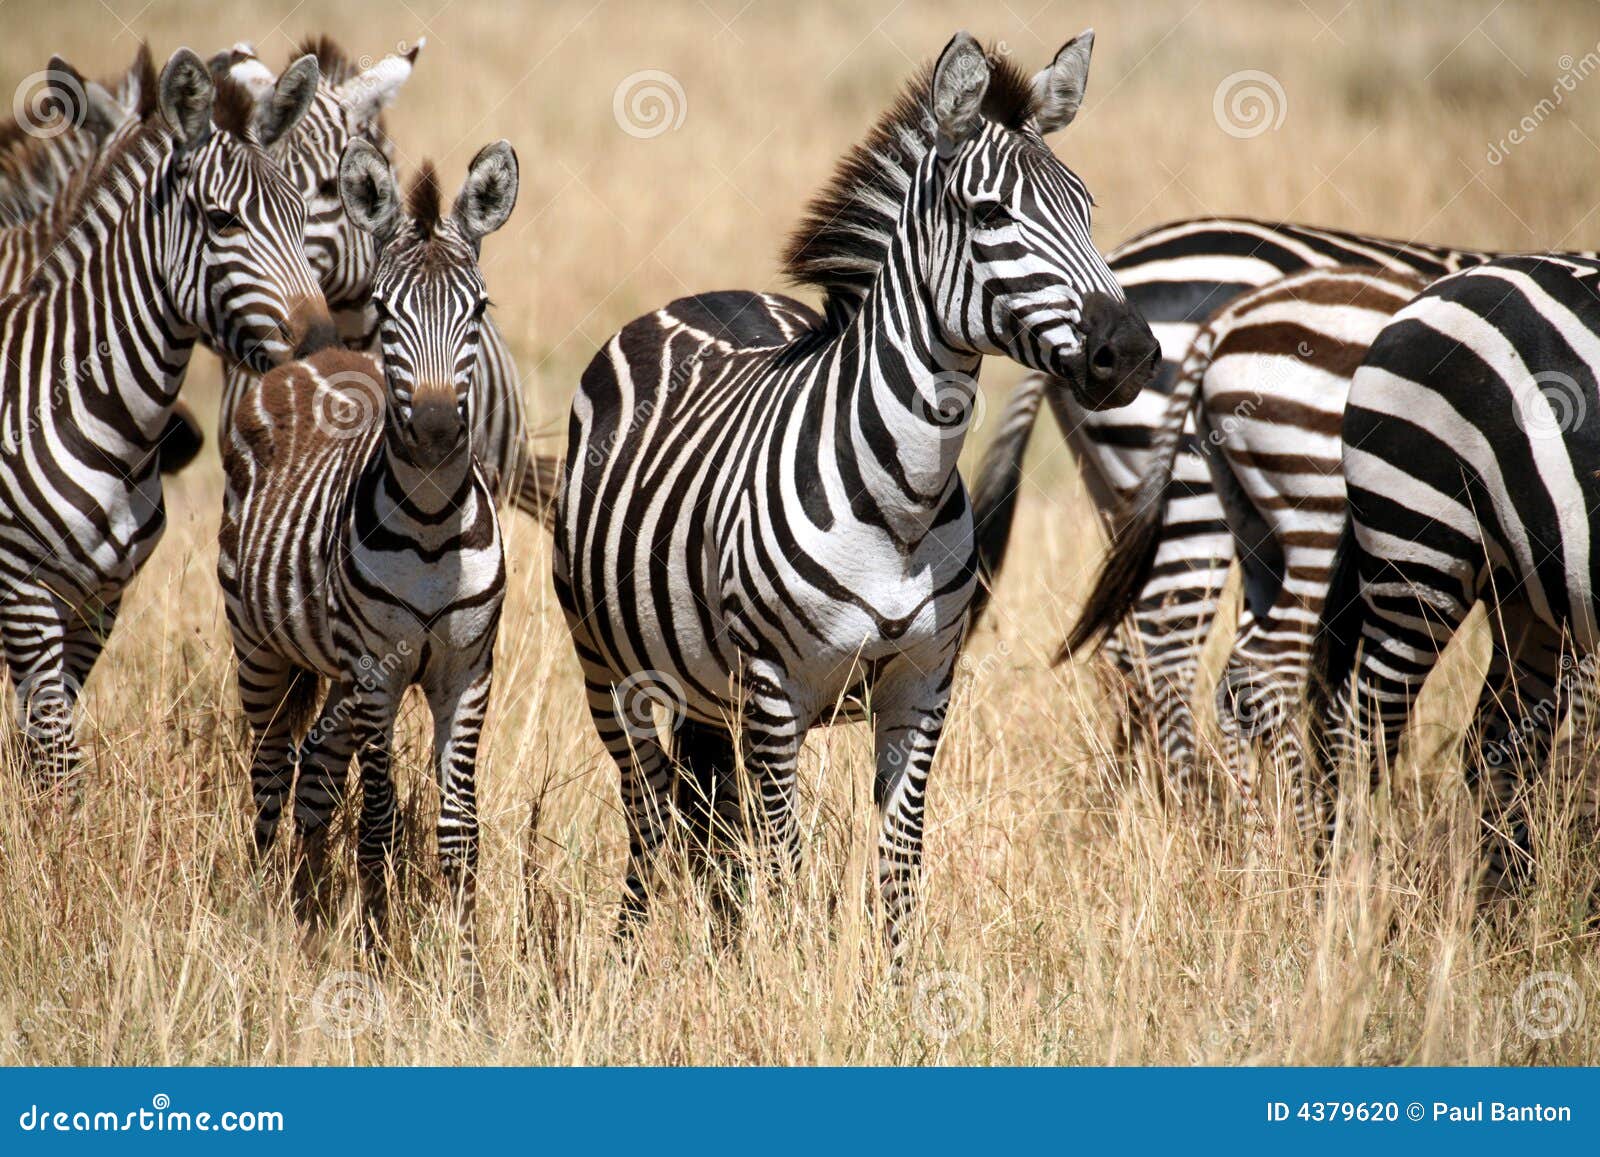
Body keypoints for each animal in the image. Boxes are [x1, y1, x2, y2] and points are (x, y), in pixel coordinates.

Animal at [0, 48, 335, 790]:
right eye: (222, 220)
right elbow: (57, 759)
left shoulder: (98, 600)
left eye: (302, 217)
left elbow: (45, 746)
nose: (325, 346)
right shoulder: (23, 588)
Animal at [218, 139, 516, 951]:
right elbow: (379, 817)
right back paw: (268, 902)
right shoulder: (380, 670)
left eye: (480, 309)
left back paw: (309, 904)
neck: (433, 528)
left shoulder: (466, 670)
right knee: (270, 768)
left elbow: (460, 830)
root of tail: (313, 357)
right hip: (262, 647)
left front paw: (467, 958)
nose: (439, 432)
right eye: (386, 311)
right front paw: (381, 947)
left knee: (317, 767)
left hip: (341, 675)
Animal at [555, 31, 1159, 962]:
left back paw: (719, 950)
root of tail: (697, 300)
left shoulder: (922, 686)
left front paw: (897, 985)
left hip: (706, 688)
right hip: (606, 664)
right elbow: (786, 861)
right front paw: (792, 980)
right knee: (650, 816)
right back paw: (626, 960)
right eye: (990, 216)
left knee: (703, 822)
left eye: (1088, 209)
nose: (1128, 354)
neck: (900, 504)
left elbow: (899, 864)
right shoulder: (775, 694)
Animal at [969, 218, 1500, 796]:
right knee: (1174, 650)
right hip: (1194, 495)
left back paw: (1147, 793)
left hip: (1126, 503)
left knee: (1128, 652)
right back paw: (1200, 803)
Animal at [1314, 253, 1600, 894]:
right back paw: (1342, 903)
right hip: (1416, 554)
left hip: (1529, 597)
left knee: (1499, 750)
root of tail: (1442, 288)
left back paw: (1505, 914)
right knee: (1360, 736)